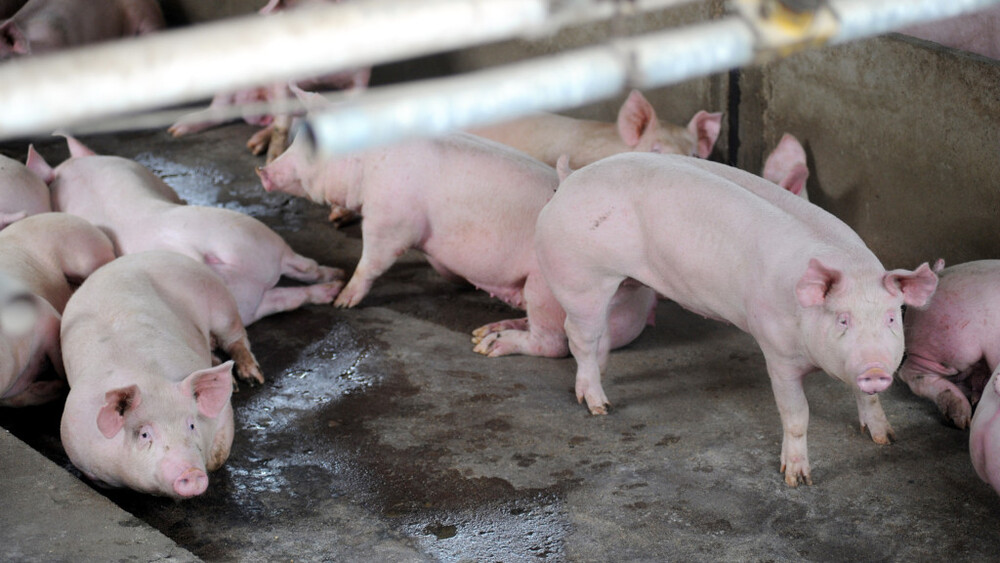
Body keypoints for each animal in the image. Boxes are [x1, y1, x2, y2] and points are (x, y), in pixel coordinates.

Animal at [27, 136, 344, 326]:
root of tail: (203, 254)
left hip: (251, 242)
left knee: (301, 271)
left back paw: (336, 280)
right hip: (251, 264)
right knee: (294, 284)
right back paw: (335, 284)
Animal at [60, 250, 263, 498]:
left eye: (191, 425)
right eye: (145, 434)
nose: (192, 472)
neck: (147, 376)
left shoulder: (223, 413)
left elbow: (219, 455)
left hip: (220, 301)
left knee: (236, 338)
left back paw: (250, 379)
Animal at [534, 152, 937, 486]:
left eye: (891, 318)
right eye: (842, 320)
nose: (875, 369)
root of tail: (568, 179)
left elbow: (868, 400)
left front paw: (887, 438)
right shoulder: (777, 352)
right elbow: (796, 415)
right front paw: (797, 480)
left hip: (615, 285)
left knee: (600, 333)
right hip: (580, 277)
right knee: (578, 335)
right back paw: (599, 406)